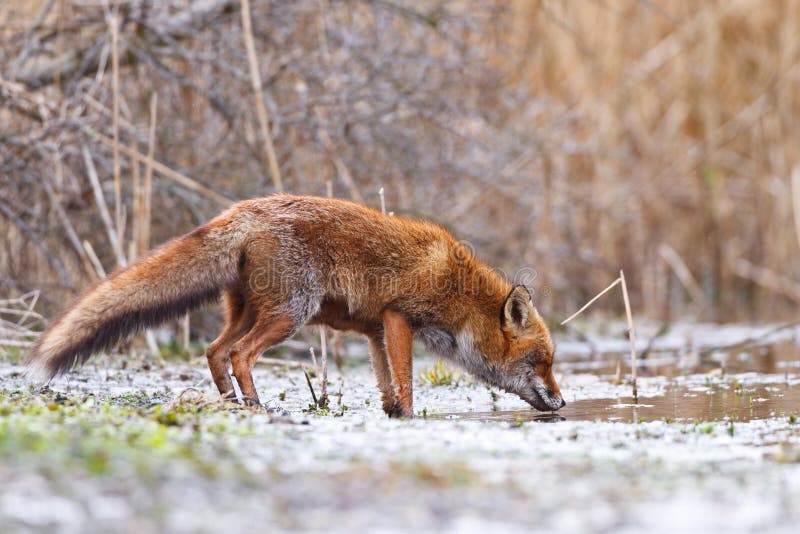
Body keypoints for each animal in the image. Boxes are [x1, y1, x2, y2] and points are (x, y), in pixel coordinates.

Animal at [26, 194, 565, 417]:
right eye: (541, 361)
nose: (562, 403)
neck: (460, 294)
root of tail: (241, 211)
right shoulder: (398, 318)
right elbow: (408, 382)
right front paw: (412, 419)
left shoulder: (374, 329)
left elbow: (386, 382)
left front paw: (392, 413)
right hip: (290, 313)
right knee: (240, 354)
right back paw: (257, 404)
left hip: (249, 311)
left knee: (215, 351)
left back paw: (231, 403)